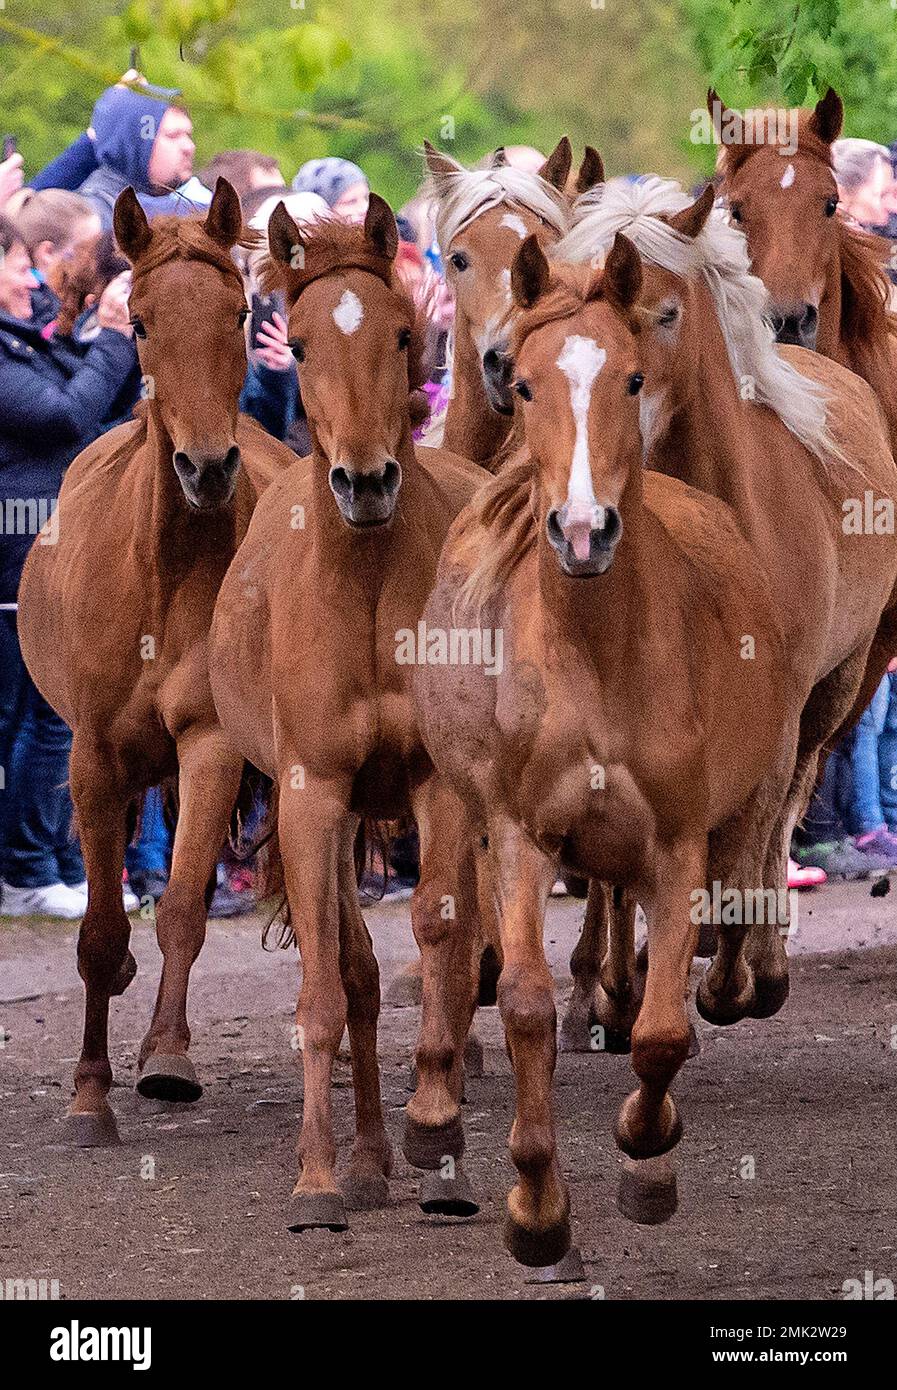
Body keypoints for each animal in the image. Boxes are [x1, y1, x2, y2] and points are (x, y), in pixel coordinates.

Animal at [17, 179, 295, 1146]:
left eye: (239, 311)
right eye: (136, 321)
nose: (207, 467)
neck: (166, 569)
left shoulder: (209, 739)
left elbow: (179, 907)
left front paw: (167, 1058)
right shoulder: (94, 751)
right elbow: (102, 929)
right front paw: (88, 1093)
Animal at [208, 195, 492, 1233]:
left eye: (402, 333)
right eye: (299, 344)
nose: (365, 482)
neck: (365, 588)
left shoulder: (439, 785)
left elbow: (444, 934)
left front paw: (437, 1125)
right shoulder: (311, 792)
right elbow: (329, 989)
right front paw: (320, 1180)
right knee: (357, 974)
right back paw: (363, 1162)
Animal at [413, 230, 799, 1268]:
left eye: (629, 378)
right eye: (527, 383)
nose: (582, 530)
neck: (592, 651)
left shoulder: (676, 840)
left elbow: (663, 1032)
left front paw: (646, 1155)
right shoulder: (518, 831)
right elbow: (525, 1006)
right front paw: (535, 1208)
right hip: (459, 808)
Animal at [548, 173, 897, 1051]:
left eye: (666, 313)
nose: (589, 461)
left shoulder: (778, 701)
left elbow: (755, 822)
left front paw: (731, 979)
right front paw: (615, 988)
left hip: (835, 686)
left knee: (784, 802)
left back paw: (753, 960)